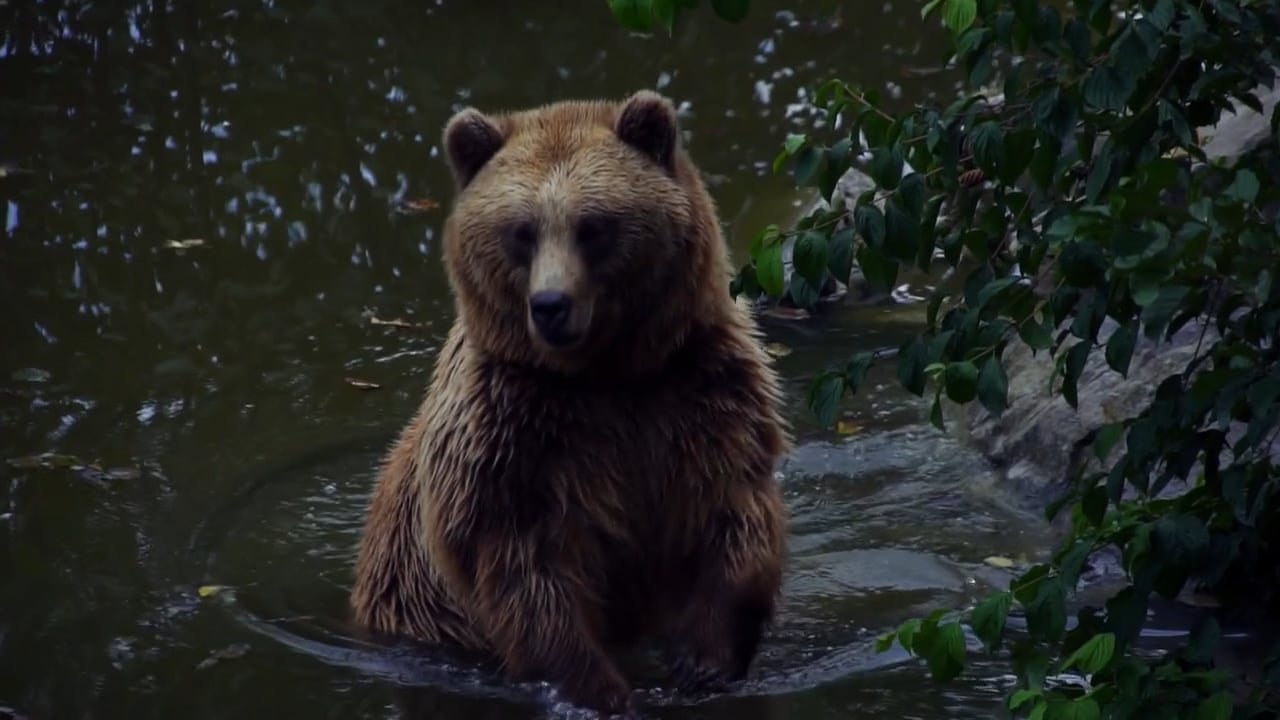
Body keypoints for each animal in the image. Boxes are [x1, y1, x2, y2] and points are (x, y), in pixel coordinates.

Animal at [349, 89, 791, 717]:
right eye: (522, 231)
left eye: (593, 226)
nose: (550, 305)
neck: (607, 374)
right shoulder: (509, 441)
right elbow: (530, 574)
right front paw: (603, 689)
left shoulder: (702, 395)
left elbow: (736, 517)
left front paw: (703, 661)